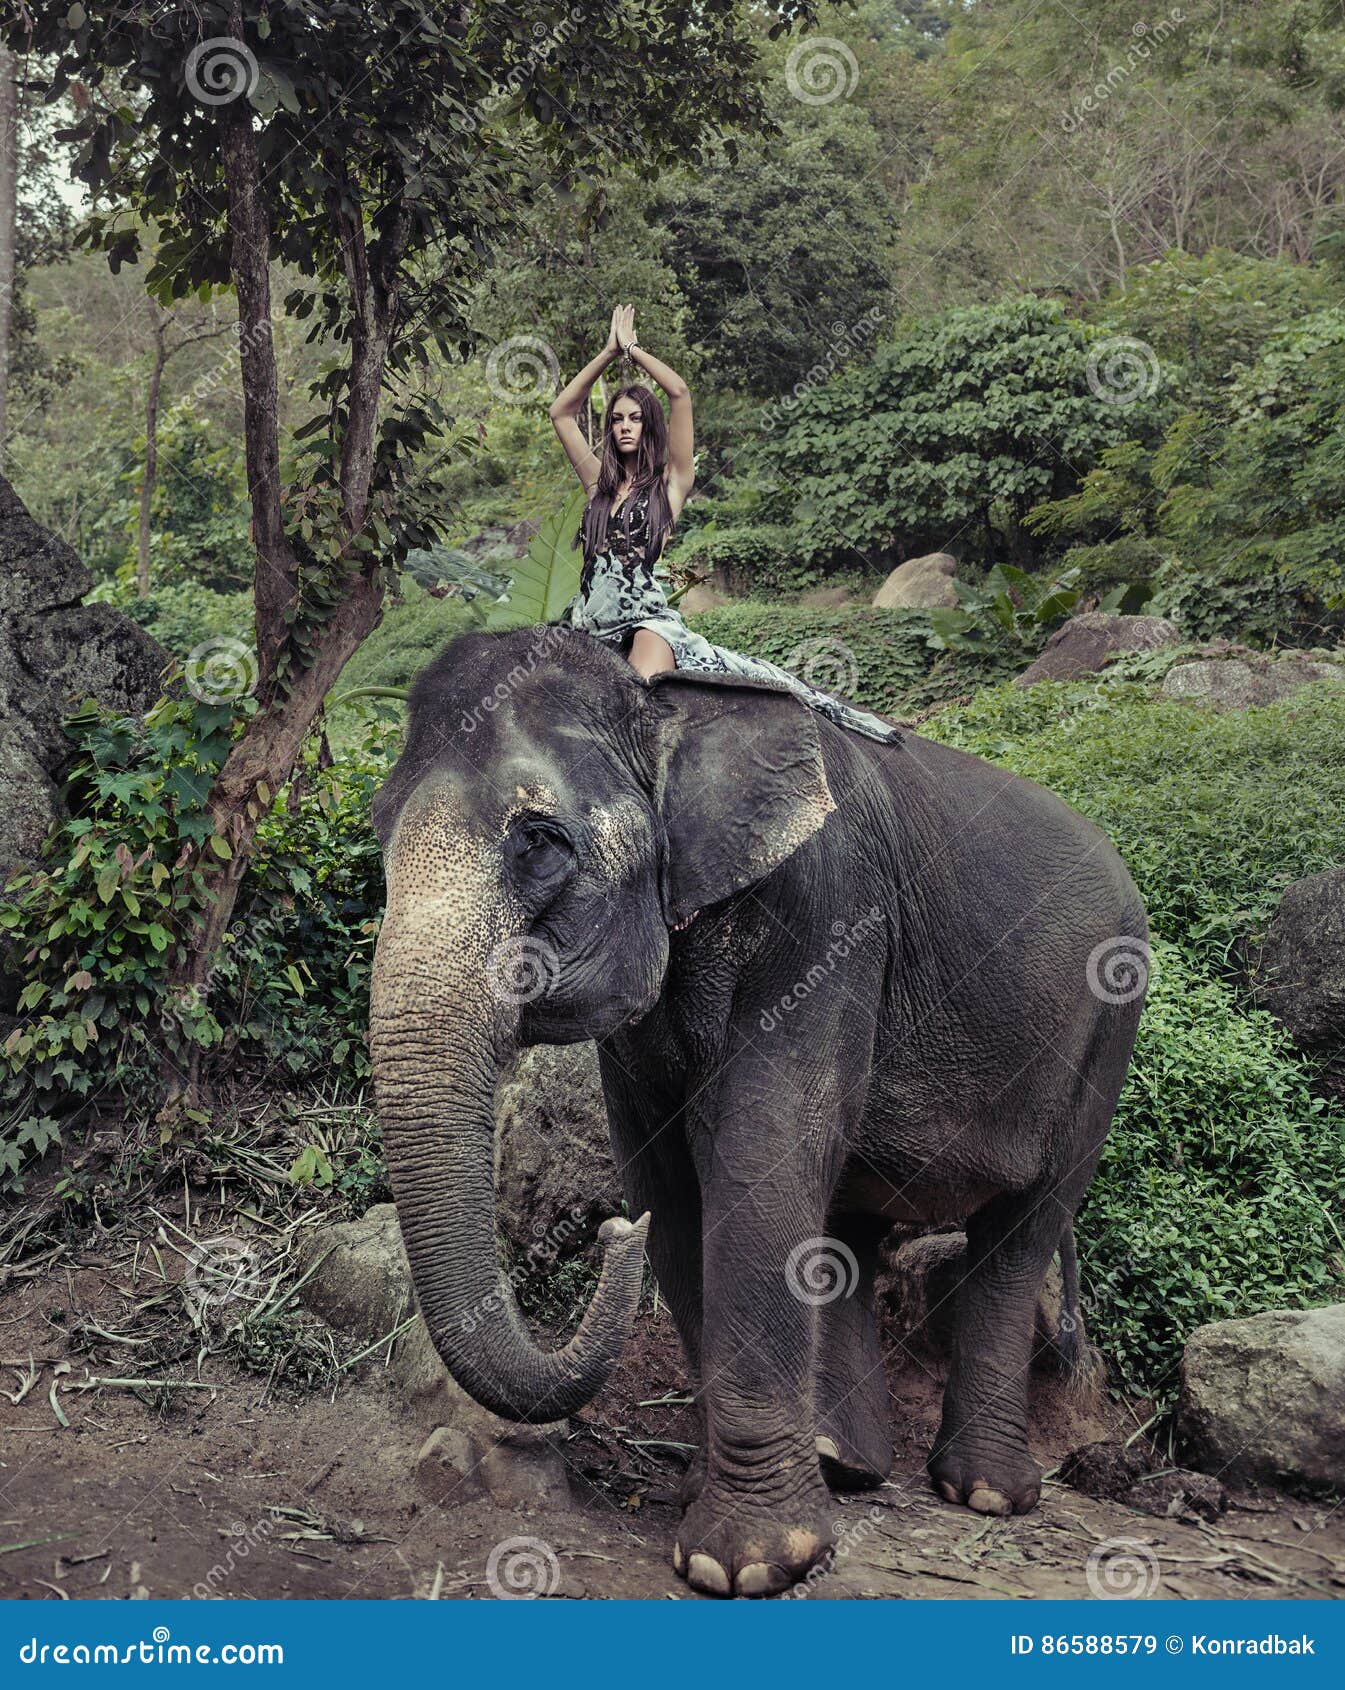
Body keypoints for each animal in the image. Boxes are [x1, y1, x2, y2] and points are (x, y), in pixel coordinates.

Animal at [368, 624, 1148, 1599]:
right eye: (377, 838)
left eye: (540, 841)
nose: (605, 1237)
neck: (662, 703)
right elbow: (667, 1179)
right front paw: (715, 1502)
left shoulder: (825, 910)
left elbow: (758, 1149)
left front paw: (746, 1562)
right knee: (852, 1219)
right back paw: (844, 1463)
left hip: (1106, 1031)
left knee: (1021, 1230)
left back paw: (984, 1494)